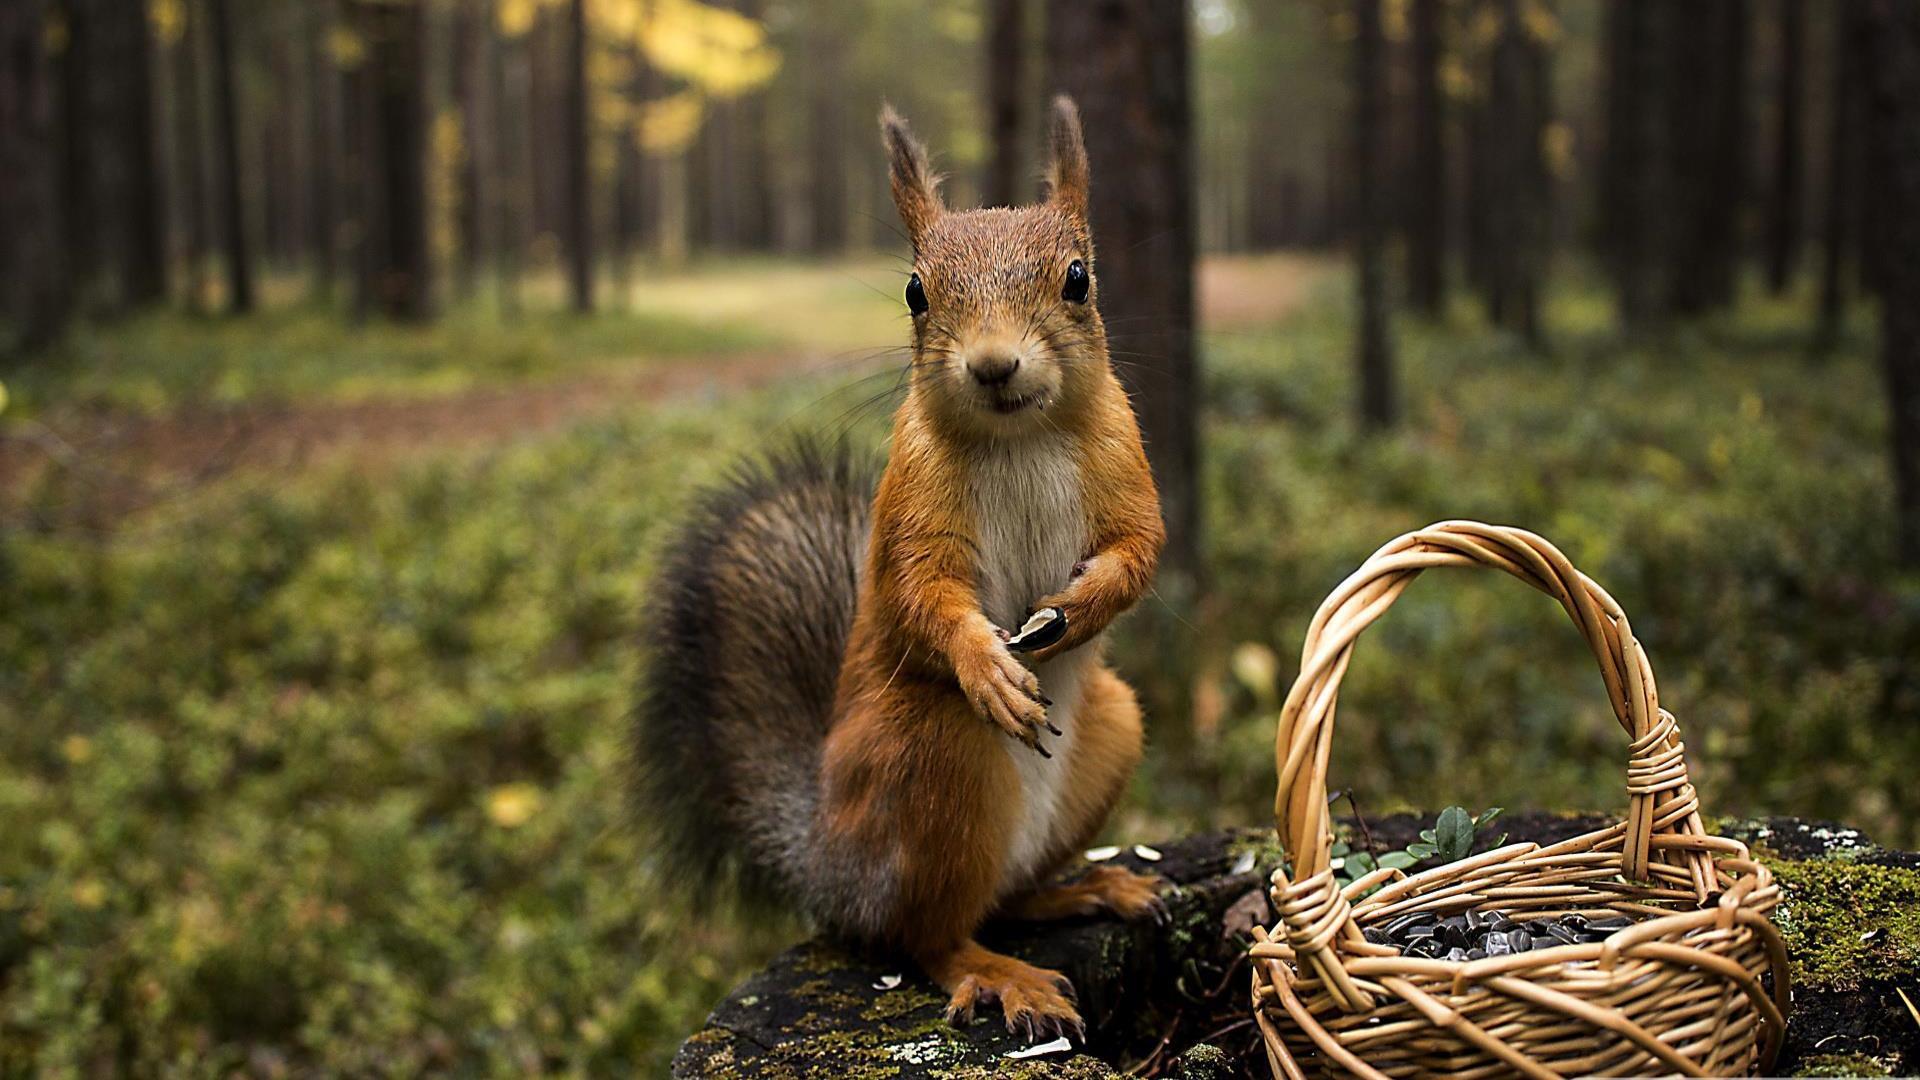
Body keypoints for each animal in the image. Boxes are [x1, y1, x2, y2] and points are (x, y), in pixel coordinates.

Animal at [634, 96, 1167, 1041]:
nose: (993, 365)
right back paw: (1000, 973)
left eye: (1078, 278)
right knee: (927, 935)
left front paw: (1082, 606)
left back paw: (1088, 888)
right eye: (917, 292)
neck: (1019, 436)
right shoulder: (913, 505)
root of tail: (830, 867)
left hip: (1112, 729)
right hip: (932, 757)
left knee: (1004, 898)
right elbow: (923, 594)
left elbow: (1139, 550)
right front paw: (987, 665)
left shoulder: (1125, 464)